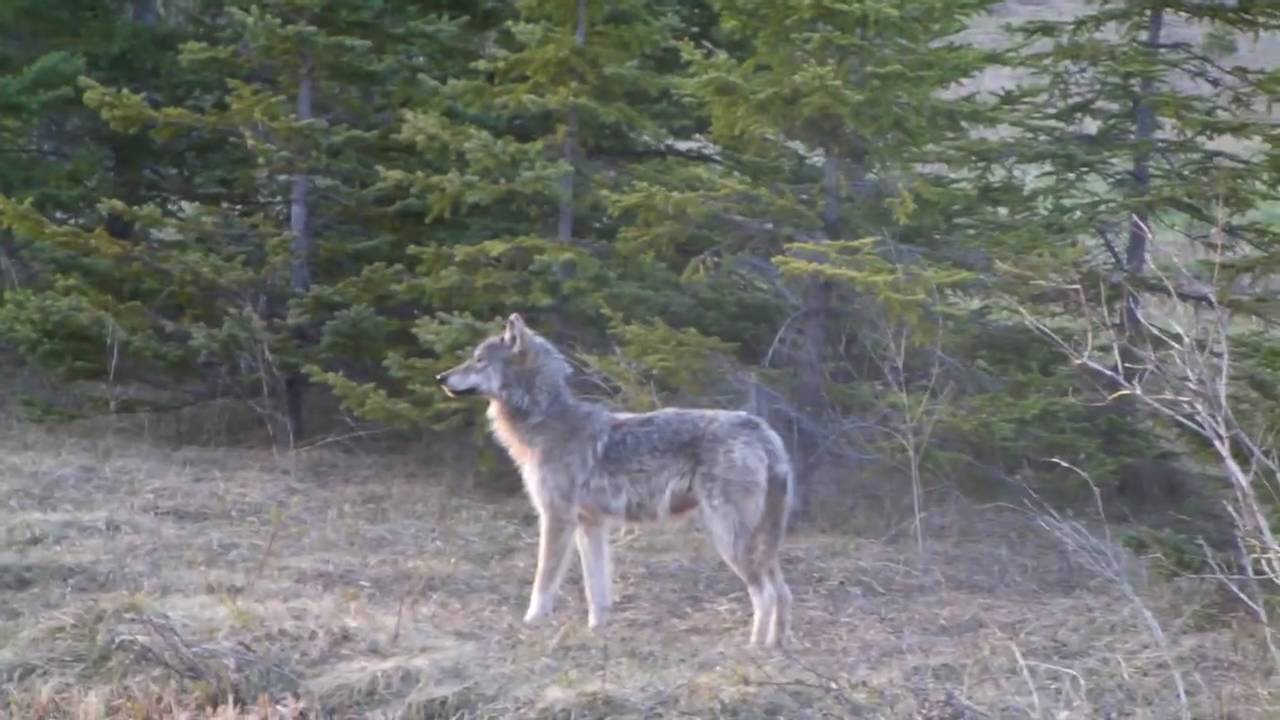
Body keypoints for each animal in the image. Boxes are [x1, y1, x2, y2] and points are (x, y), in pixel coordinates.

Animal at [436, 313, 794, 647]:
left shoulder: (557, 519)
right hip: (756, 543)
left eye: (478, 360)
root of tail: (761, 429)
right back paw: (776, 647)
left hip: (728, 538)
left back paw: (753, 648)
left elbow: (543, 581)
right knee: (783, 592)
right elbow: (597, 591)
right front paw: (597, 631)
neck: (544, 421)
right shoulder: (590, 524)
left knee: (765, 594)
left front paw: (531, 623)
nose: (440, 377)